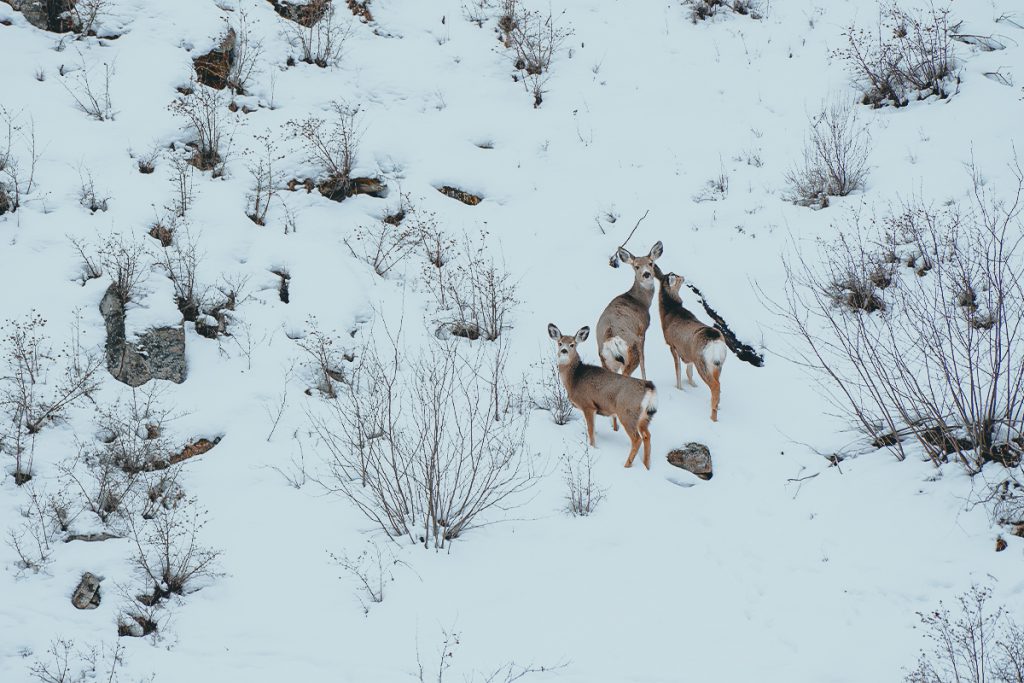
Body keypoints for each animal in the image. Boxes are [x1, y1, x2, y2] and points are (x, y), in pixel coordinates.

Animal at [548, 324, 657, 469]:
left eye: (572, 344)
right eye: (559, 343)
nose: (564, 351)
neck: (575, 379)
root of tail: (649, 387)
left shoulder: (588, 405)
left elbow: (591, 431)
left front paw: (593, 449)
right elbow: (592, 430)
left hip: (627, 412)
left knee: (637, 438)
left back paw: (626, 465)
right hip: (645, 417)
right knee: (647, 436)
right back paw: (647, 466)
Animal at [657, 271, 727, 422]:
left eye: (675, 276)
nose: (683, 276)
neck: (667, 313)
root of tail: (715, 342)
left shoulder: (672, 346)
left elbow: (678, 371)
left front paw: (679, 388)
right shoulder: (686, 354)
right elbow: (688, 371)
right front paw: (692, 385)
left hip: (702, 362)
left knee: (715, 386)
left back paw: (713, 417)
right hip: (718, 365)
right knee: (718, 384)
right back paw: (717, 407)